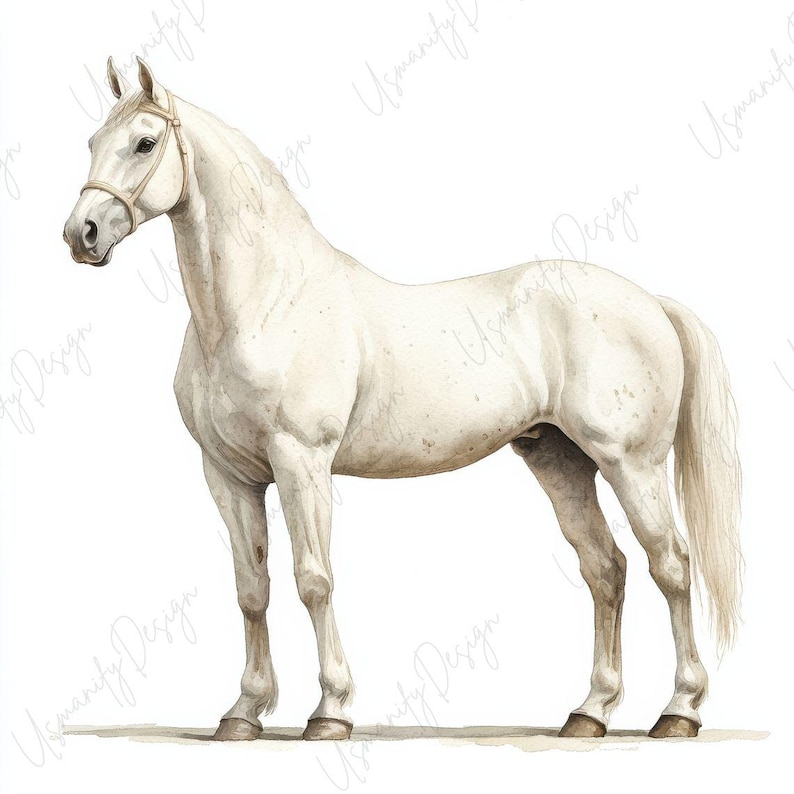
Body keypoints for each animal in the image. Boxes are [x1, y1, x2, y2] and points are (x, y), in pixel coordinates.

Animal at [63, 57, 742, 742]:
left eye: (145, 142)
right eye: (92, 141)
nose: (80, 234)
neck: (262, 301)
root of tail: (651, 301)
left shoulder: (301, 462)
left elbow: (313, 580)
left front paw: (330, 712)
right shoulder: (227, 474)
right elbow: (251, 588)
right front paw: (243, 714)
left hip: (631, 464)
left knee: (671, 565)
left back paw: (679, 711)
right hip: (561, 461)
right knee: (606, 570)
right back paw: (590, 713)